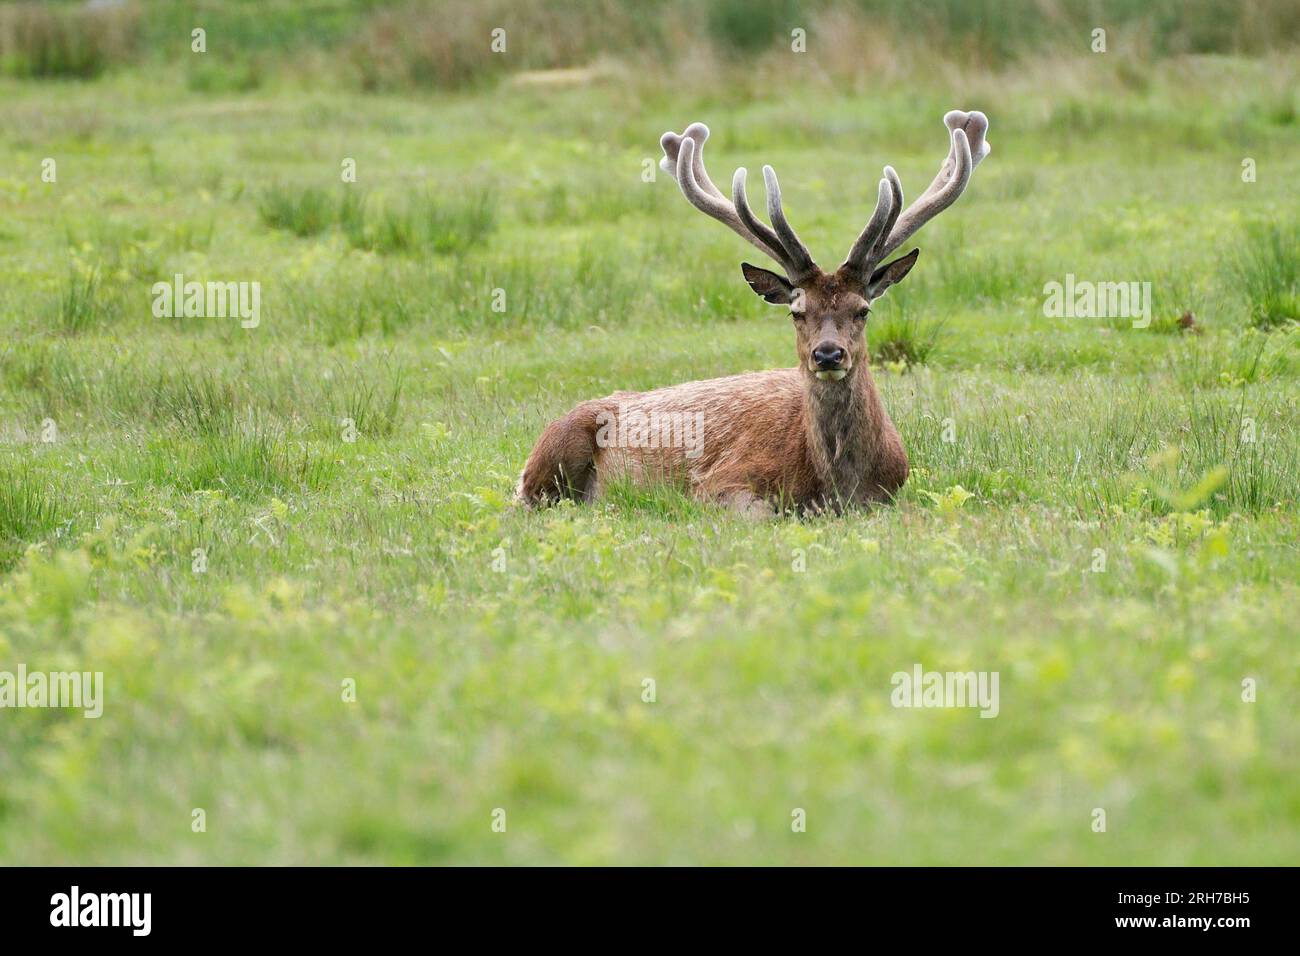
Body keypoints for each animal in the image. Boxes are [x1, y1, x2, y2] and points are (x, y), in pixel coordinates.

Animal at [516, 110, 991, 516]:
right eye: (797, 311)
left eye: (863, 310)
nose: (828, 355)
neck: (837, 486)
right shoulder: (718, 483)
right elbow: (761, 513)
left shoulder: (894, 492)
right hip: (549, 455)